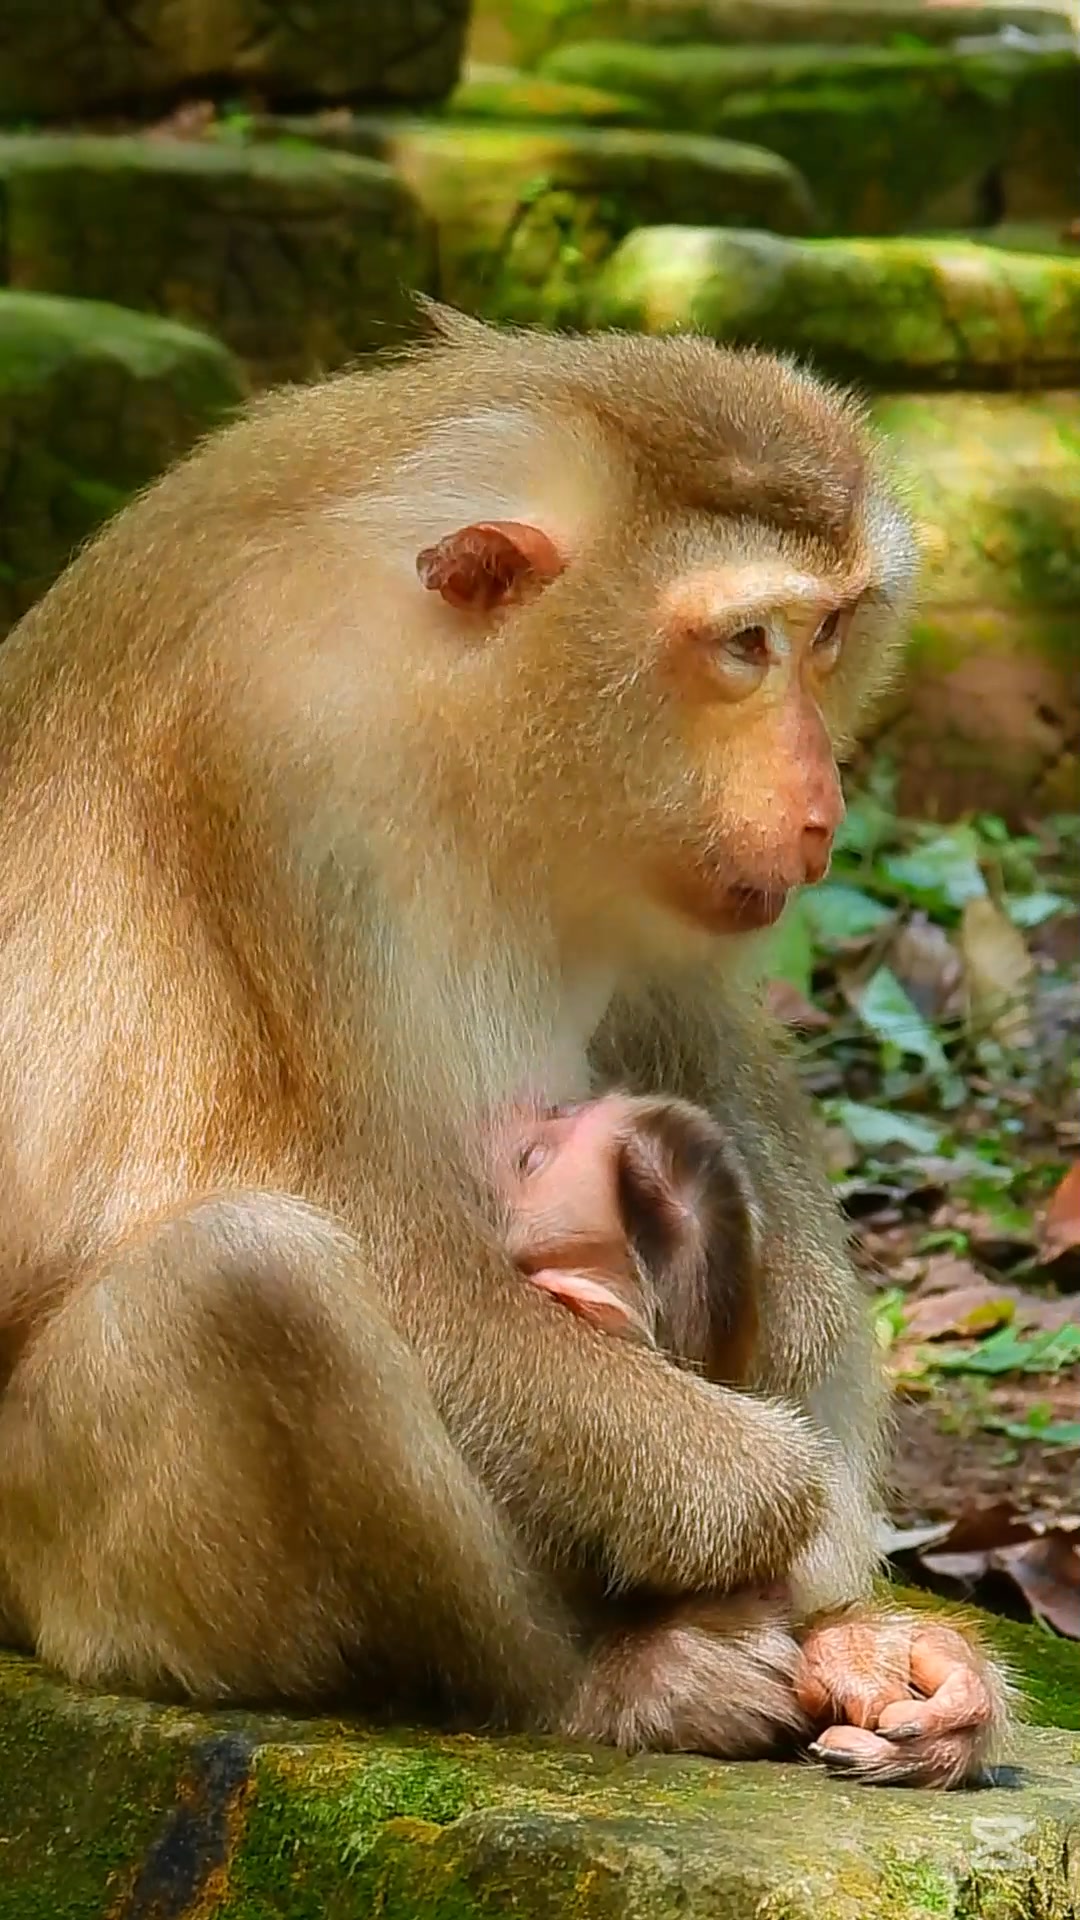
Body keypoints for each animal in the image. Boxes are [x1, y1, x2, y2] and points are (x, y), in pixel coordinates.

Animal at [0, 304, 1008, 1786]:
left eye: (828, 634)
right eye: (744, 644)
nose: (821, 806)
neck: (458, 717)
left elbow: (697, 1062)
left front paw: (850, 1611)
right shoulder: (270, 756)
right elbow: (388, 1226)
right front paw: (764, 1497)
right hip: (72, 1572)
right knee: (249, 1283)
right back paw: (593, 1682)